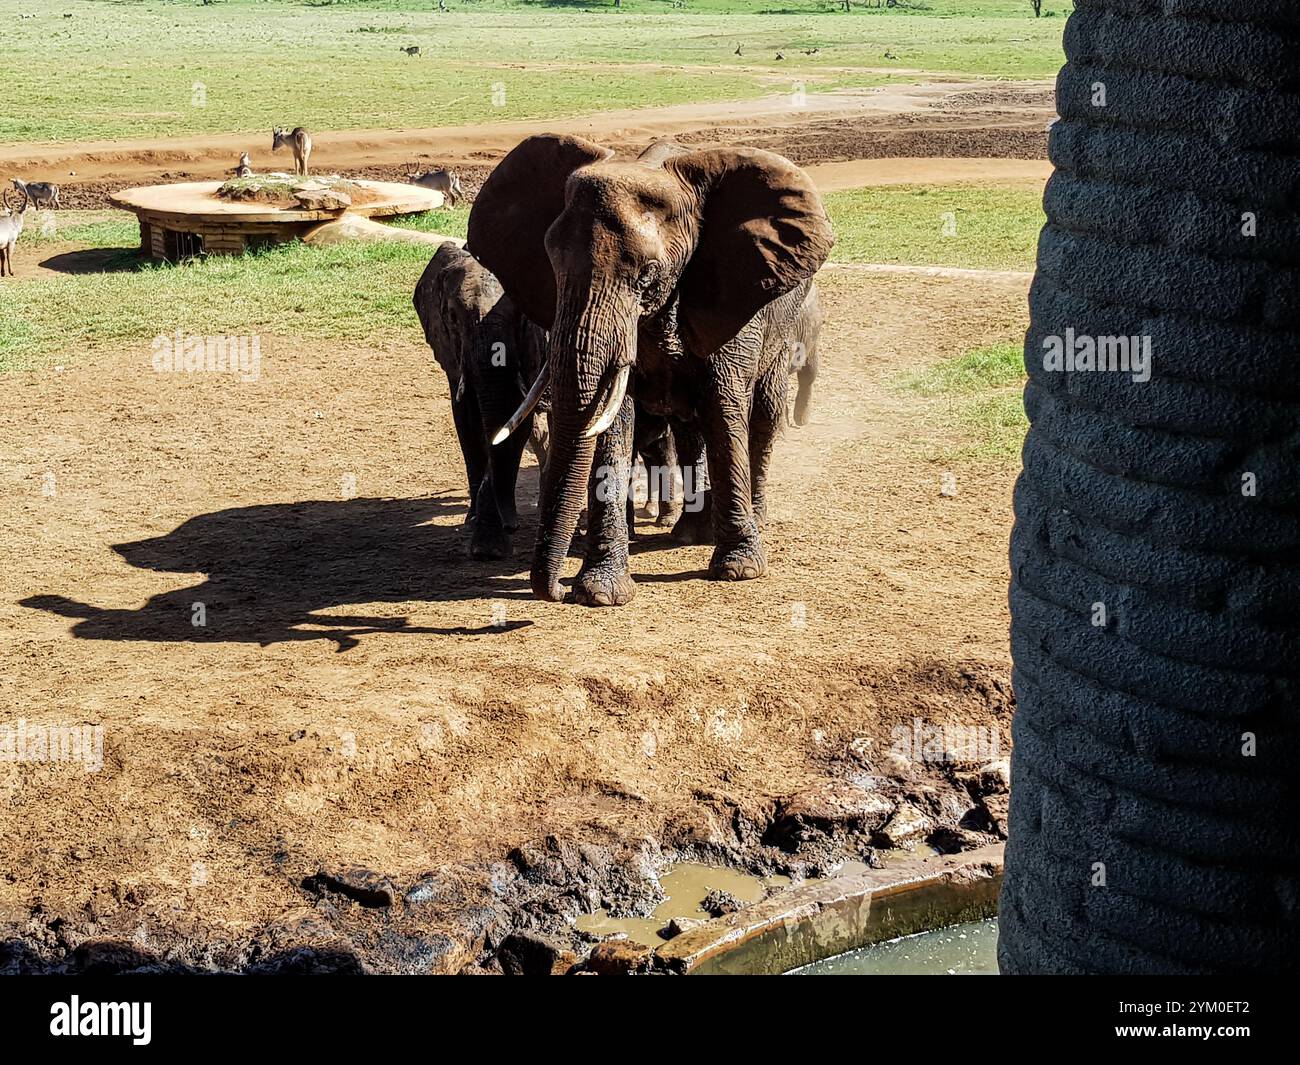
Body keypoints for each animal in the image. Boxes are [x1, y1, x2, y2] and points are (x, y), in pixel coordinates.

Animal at [413, 242, 549, 560]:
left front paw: (489, 547)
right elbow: (466, 420)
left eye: (521, 318)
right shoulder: (451, 351)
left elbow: (514, 420)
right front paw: (475, 523)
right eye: (452, 317)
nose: (512, 524)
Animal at [466, 134, 833, 606]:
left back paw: (751, 519)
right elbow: (612, 422)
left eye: (647, 276)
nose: (556, 592)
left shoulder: (731, 298)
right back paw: (690, 531)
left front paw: (740, 570)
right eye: (551, 265)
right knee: (690, 432)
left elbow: (724, 407)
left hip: (786, 323)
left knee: (762, 415)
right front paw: (599, 592)